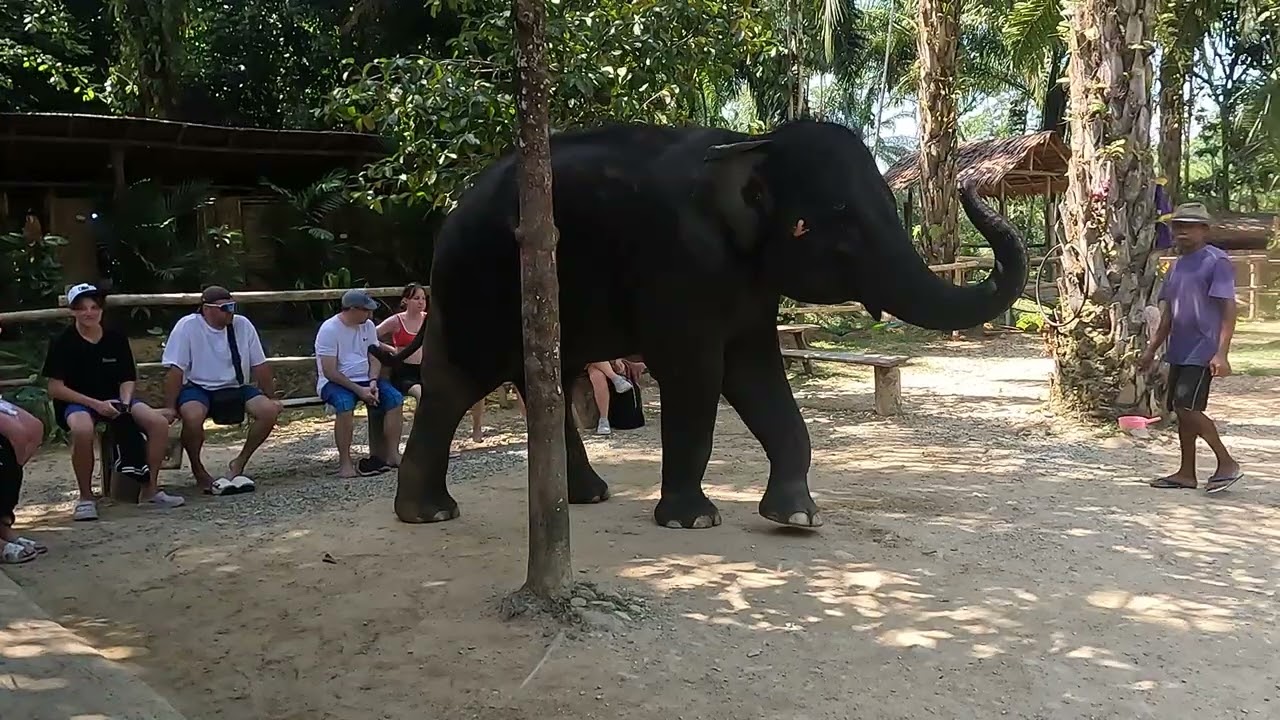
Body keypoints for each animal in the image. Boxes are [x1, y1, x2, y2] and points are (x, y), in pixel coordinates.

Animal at [376, 119, 1029, 530]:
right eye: (839, 222)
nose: (972, 182)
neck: (749, 146)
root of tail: (452, 210)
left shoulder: (747, 285)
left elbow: (756, 372)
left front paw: (796, 517)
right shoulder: (681, 264)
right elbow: (696, 374)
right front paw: (693, 520)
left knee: (550, 386)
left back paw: (588, 496)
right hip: (475, 284)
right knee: (456, 381)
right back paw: (431, 513)